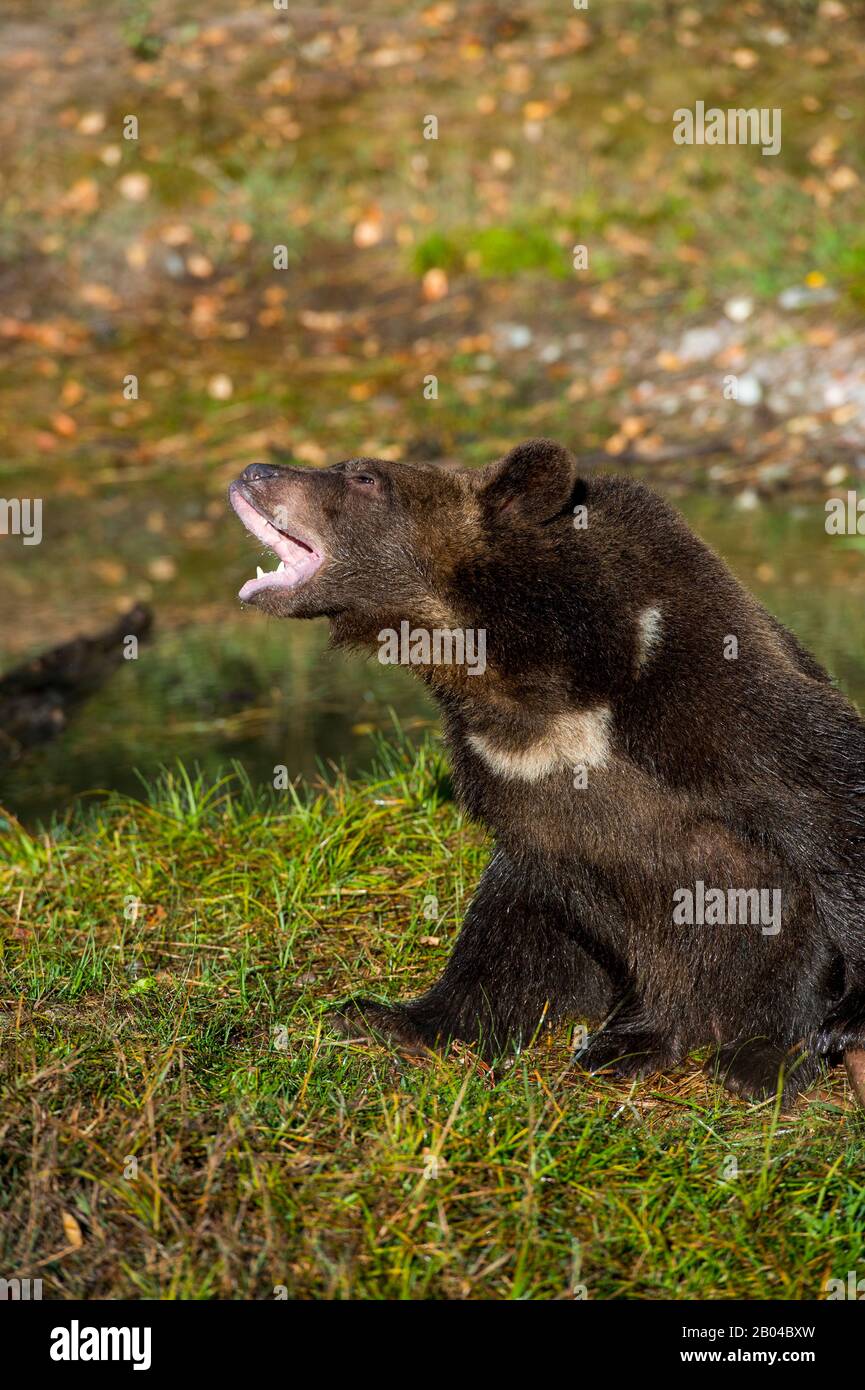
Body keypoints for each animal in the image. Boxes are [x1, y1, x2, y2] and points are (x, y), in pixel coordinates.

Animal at [229, 439, 865, 1104]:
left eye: (363, 477)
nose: (255, 471)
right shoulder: (513, 781)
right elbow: (537, 915)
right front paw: (628, 1035)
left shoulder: (690, 685)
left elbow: (821, 800)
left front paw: (804, 1038)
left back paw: (754, 1056)